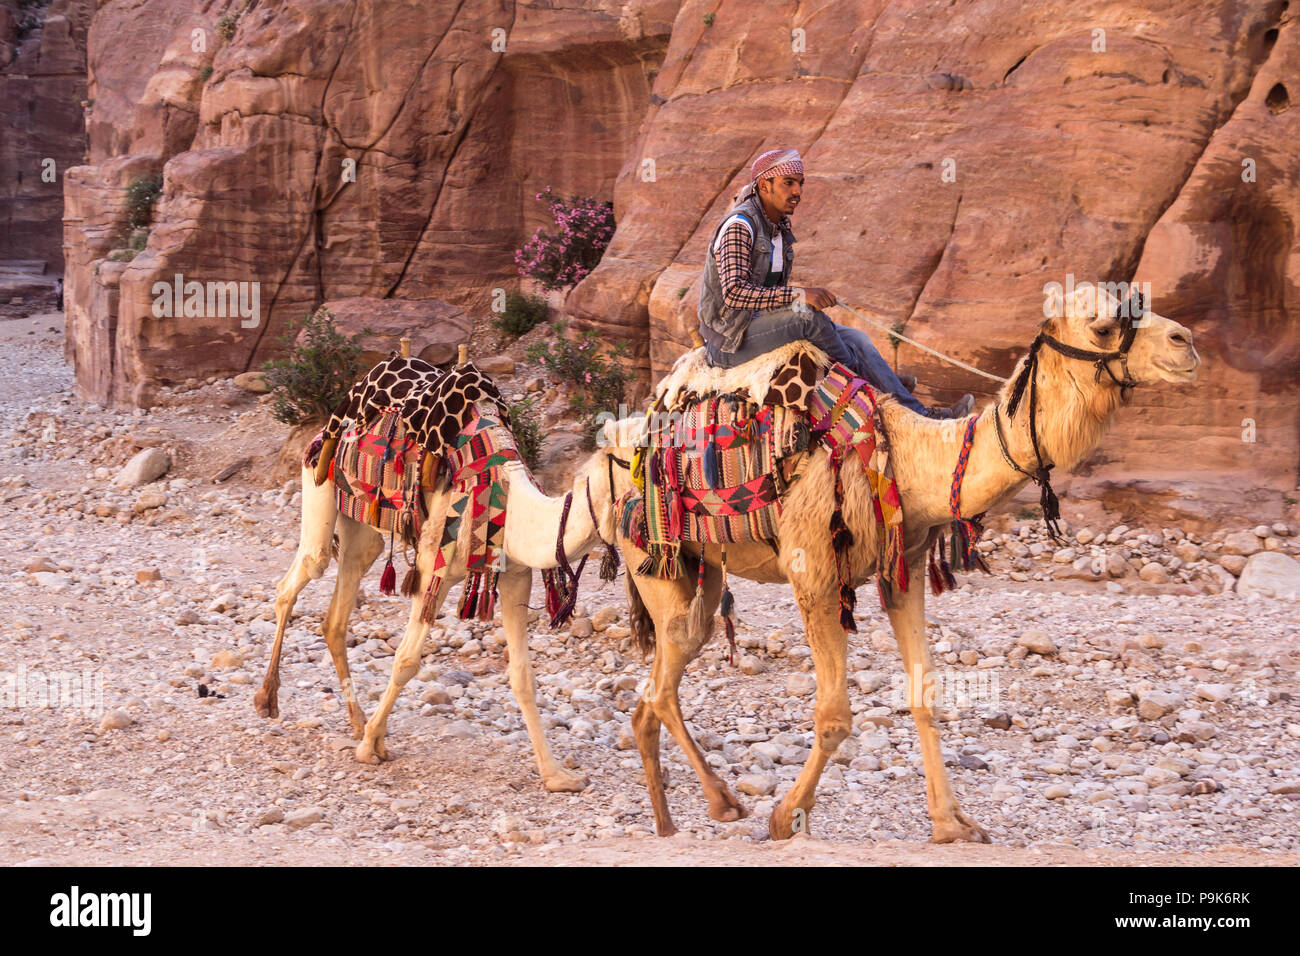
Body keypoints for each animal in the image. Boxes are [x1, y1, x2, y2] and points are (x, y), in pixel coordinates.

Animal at [255, 428, 627, 794]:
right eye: (631, 455)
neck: (514, 506)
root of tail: (319, 435)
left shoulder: (516, 576)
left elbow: (522, 676)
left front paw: (558, 776)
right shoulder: (433, 568)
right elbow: (406, 661)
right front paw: (370, 747)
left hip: (360, 530)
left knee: (337, 613)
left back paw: (357, 721)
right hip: (318, 488)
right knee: (295, 579)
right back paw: (267, 699)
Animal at [616, 286, 1200, 841]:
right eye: (1103, 327)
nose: (1186, 342)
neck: (904, 452)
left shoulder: (906, 565)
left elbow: (925, 695)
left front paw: (953, 825)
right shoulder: (814, 570)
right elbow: (834, 717)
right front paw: (785, 819)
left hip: (700, 571)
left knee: (661, 680)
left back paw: (668, 823)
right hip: (650, 552)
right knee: (667, 673)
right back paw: (723, 803)